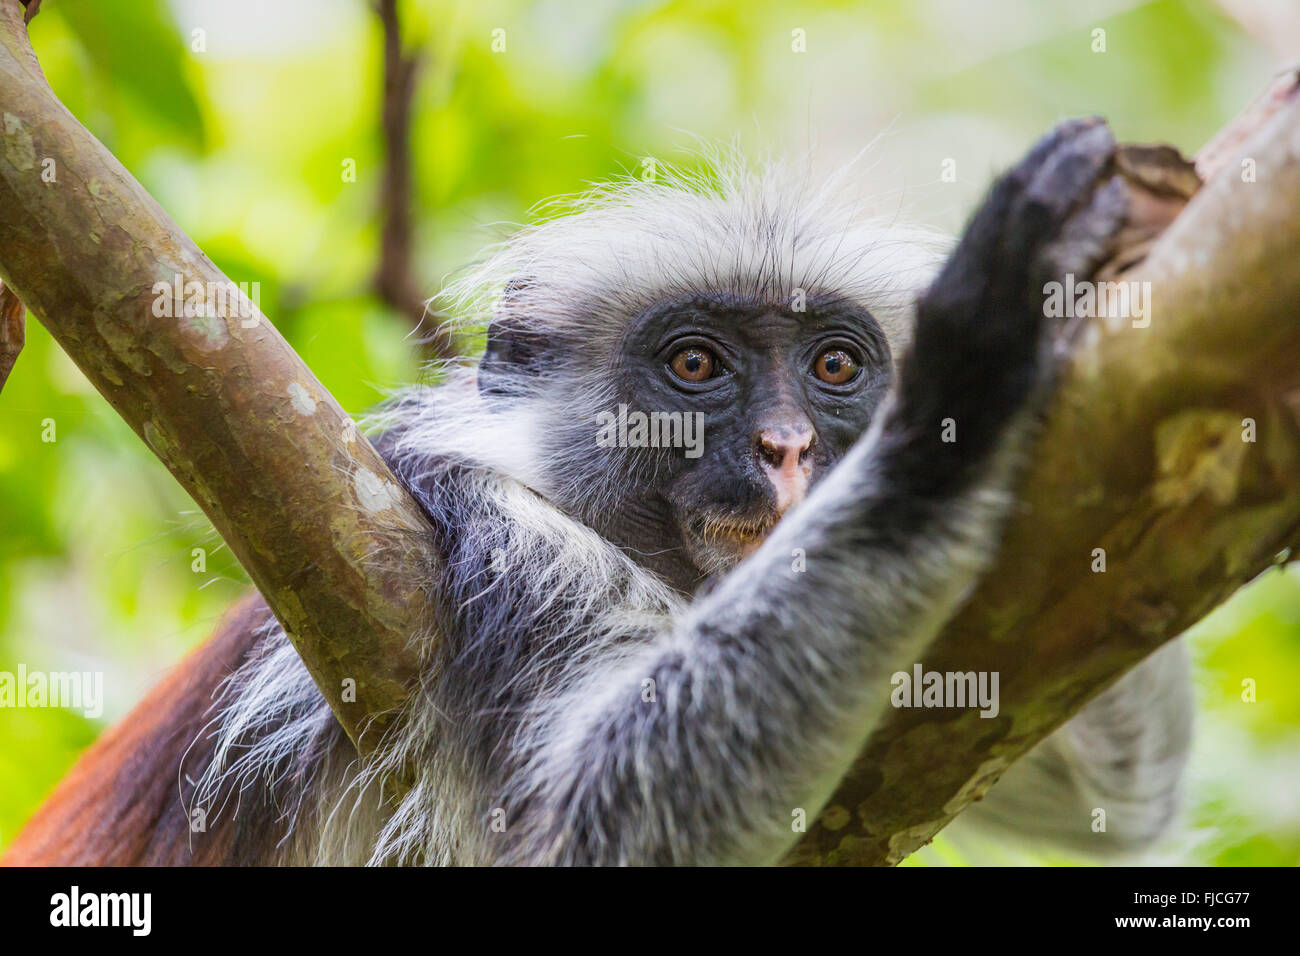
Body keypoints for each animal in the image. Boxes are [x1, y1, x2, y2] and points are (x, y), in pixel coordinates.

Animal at [2, 118, 1192, 866]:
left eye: (836, 366)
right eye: (697, 365)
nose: (788, 447)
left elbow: (1115, 797)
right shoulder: (492, 535)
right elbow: (582, 830)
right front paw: (962, 384)